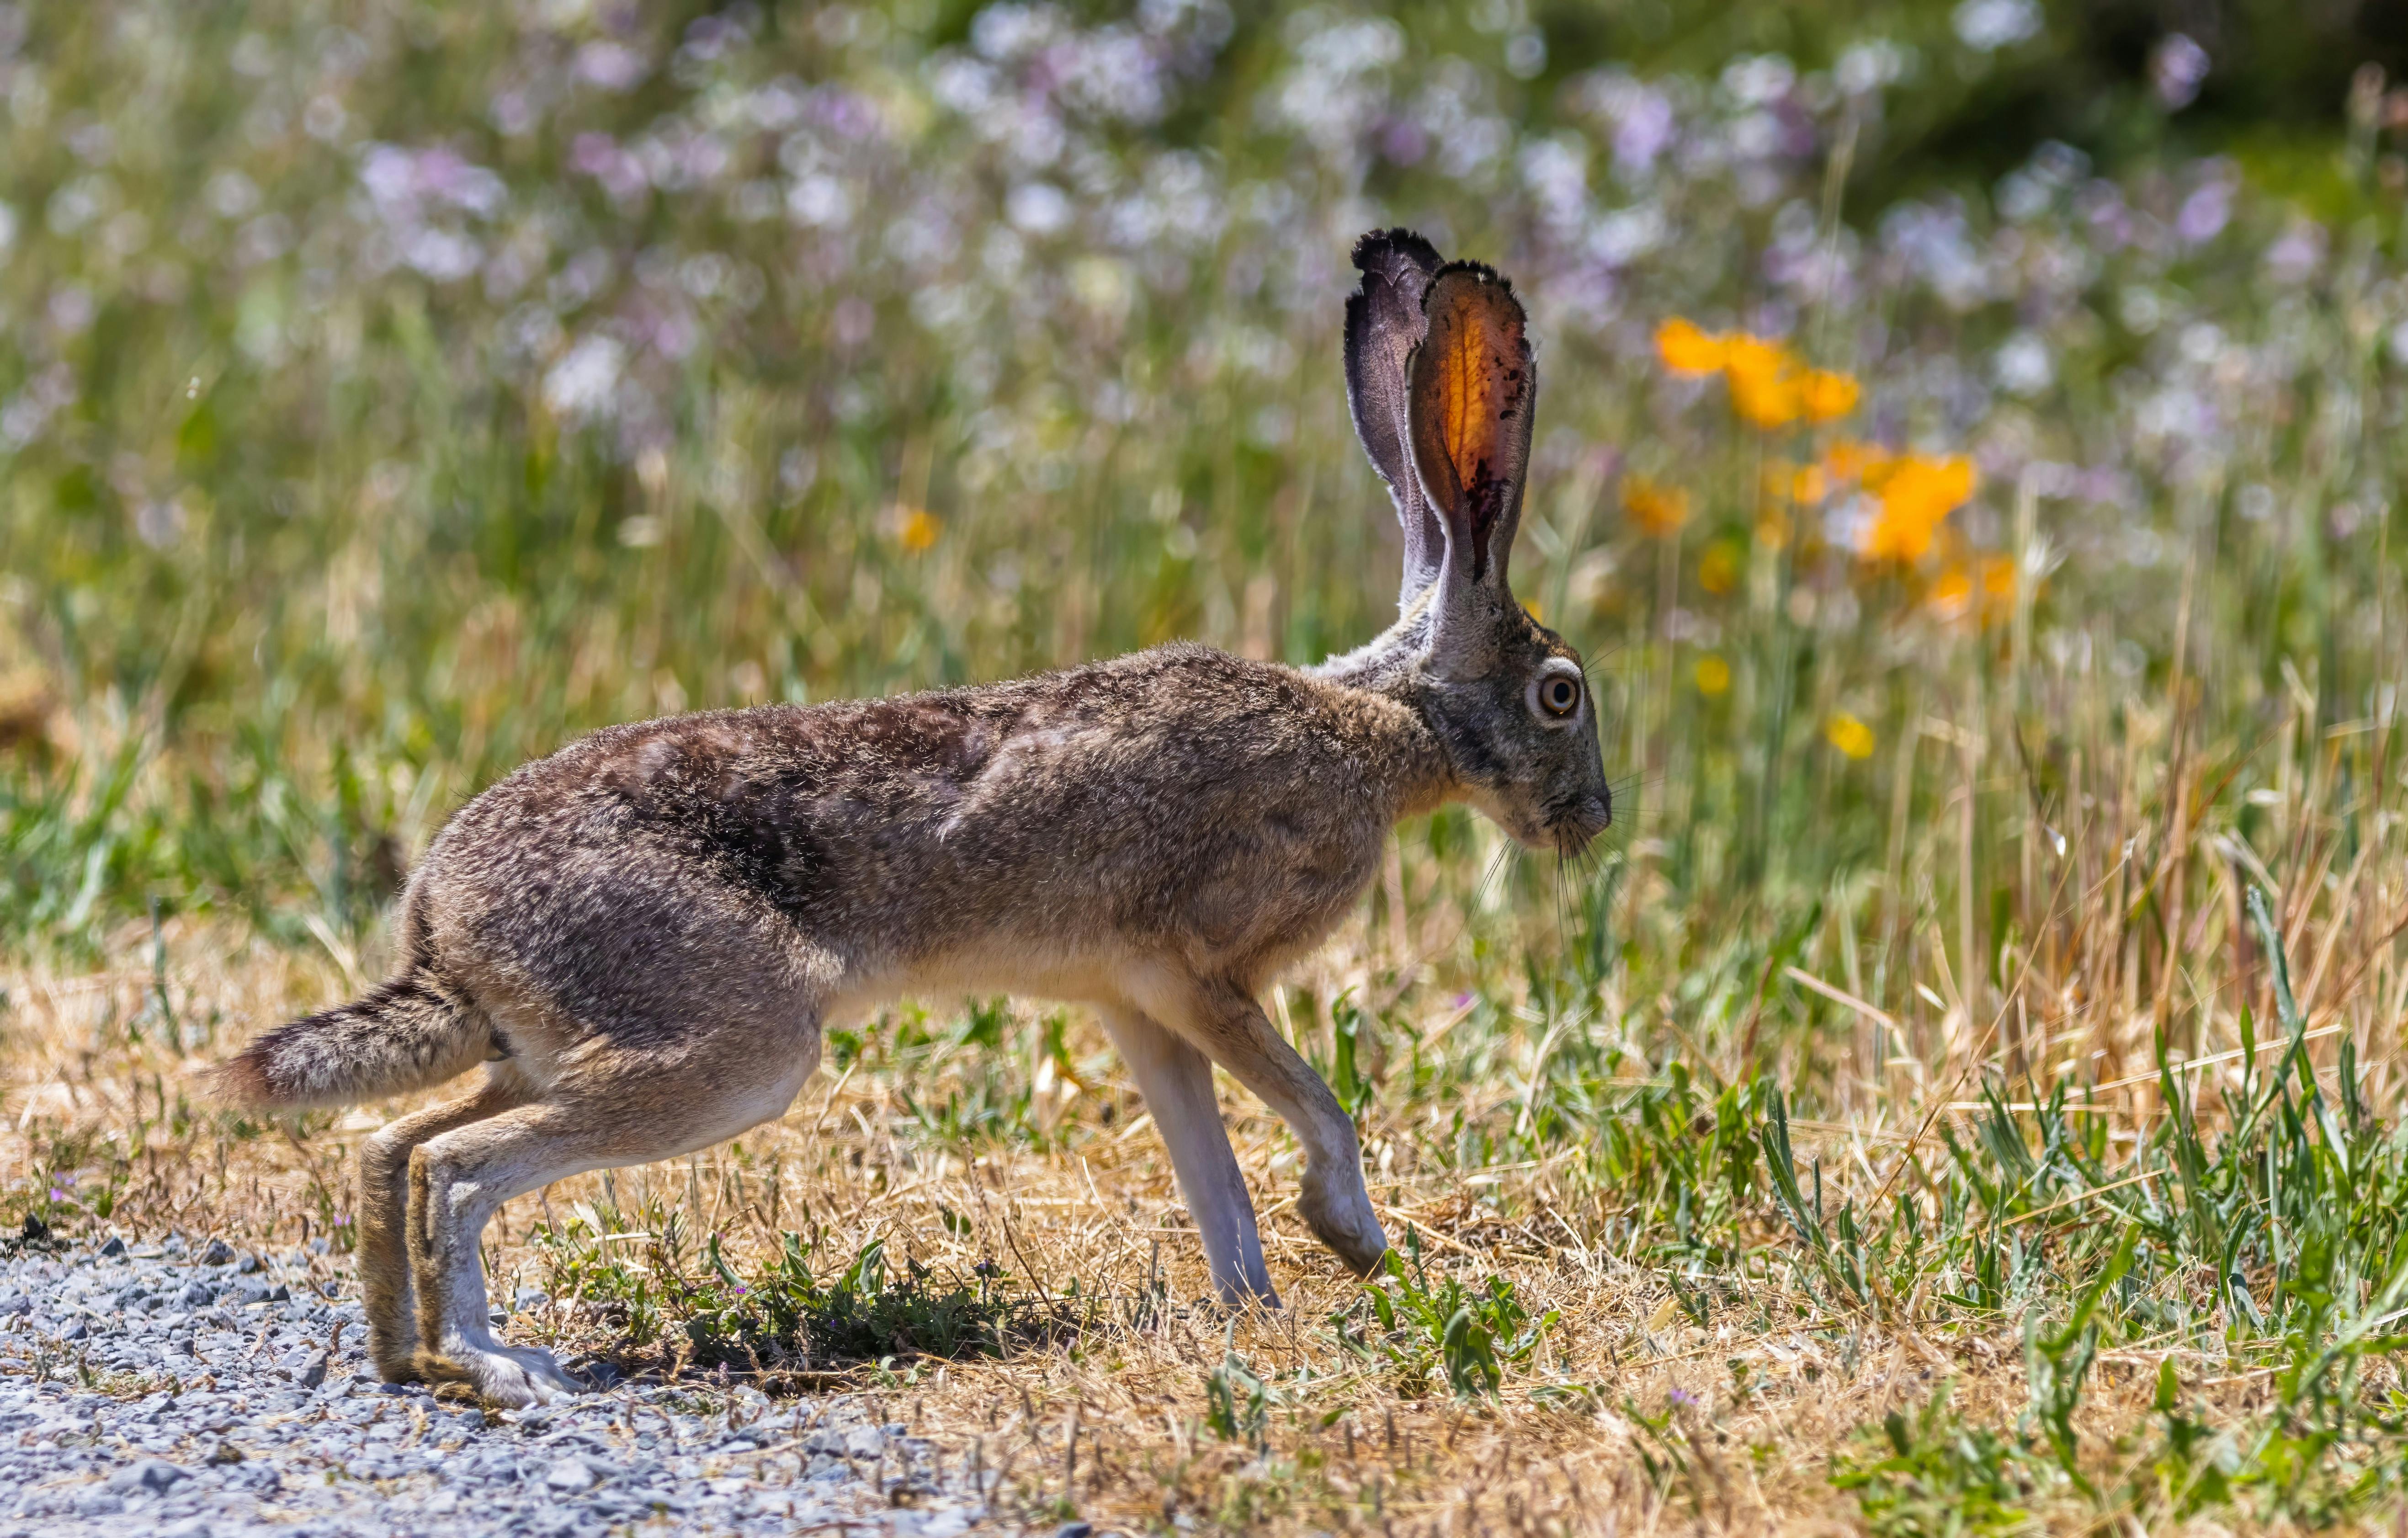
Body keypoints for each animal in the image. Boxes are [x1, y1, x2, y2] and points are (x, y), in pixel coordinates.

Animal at [209, 228, 1610, 1407]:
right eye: (1559, 692)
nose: (1591, 819)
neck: (1384, 729)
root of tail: (442, 922)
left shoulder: (1134, 1002)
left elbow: (1206, 1164)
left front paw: (1256, 1309)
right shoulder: (1199, 967)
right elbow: (1316, 1107)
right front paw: (1354, 1246)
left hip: (551, 1042)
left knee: (391, 1144)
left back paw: (407, 1355)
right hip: (727, 1045)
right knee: (458, 1167)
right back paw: (501, 1367)